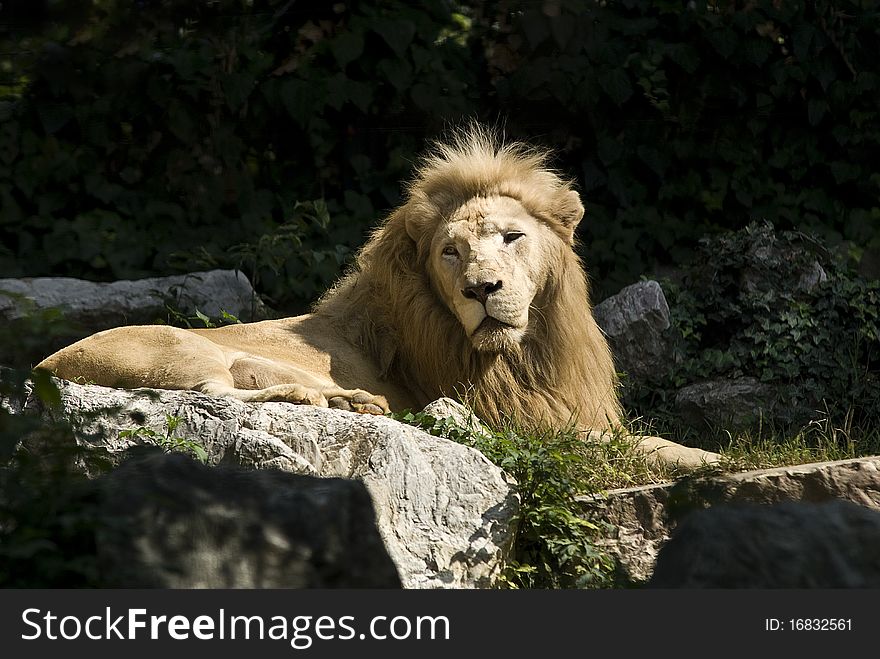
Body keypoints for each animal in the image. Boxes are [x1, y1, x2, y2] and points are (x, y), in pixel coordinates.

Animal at [37, 126, 720, 466]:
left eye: (512, 236)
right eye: (450, 252)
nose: (481, 289)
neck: (522, 352)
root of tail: (45, 365)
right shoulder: (521, 424)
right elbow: (643, 446)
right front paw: (708, 458)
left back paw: (347, 402)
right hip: (178, 347)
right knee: (214, 396)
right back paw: (339, 401)